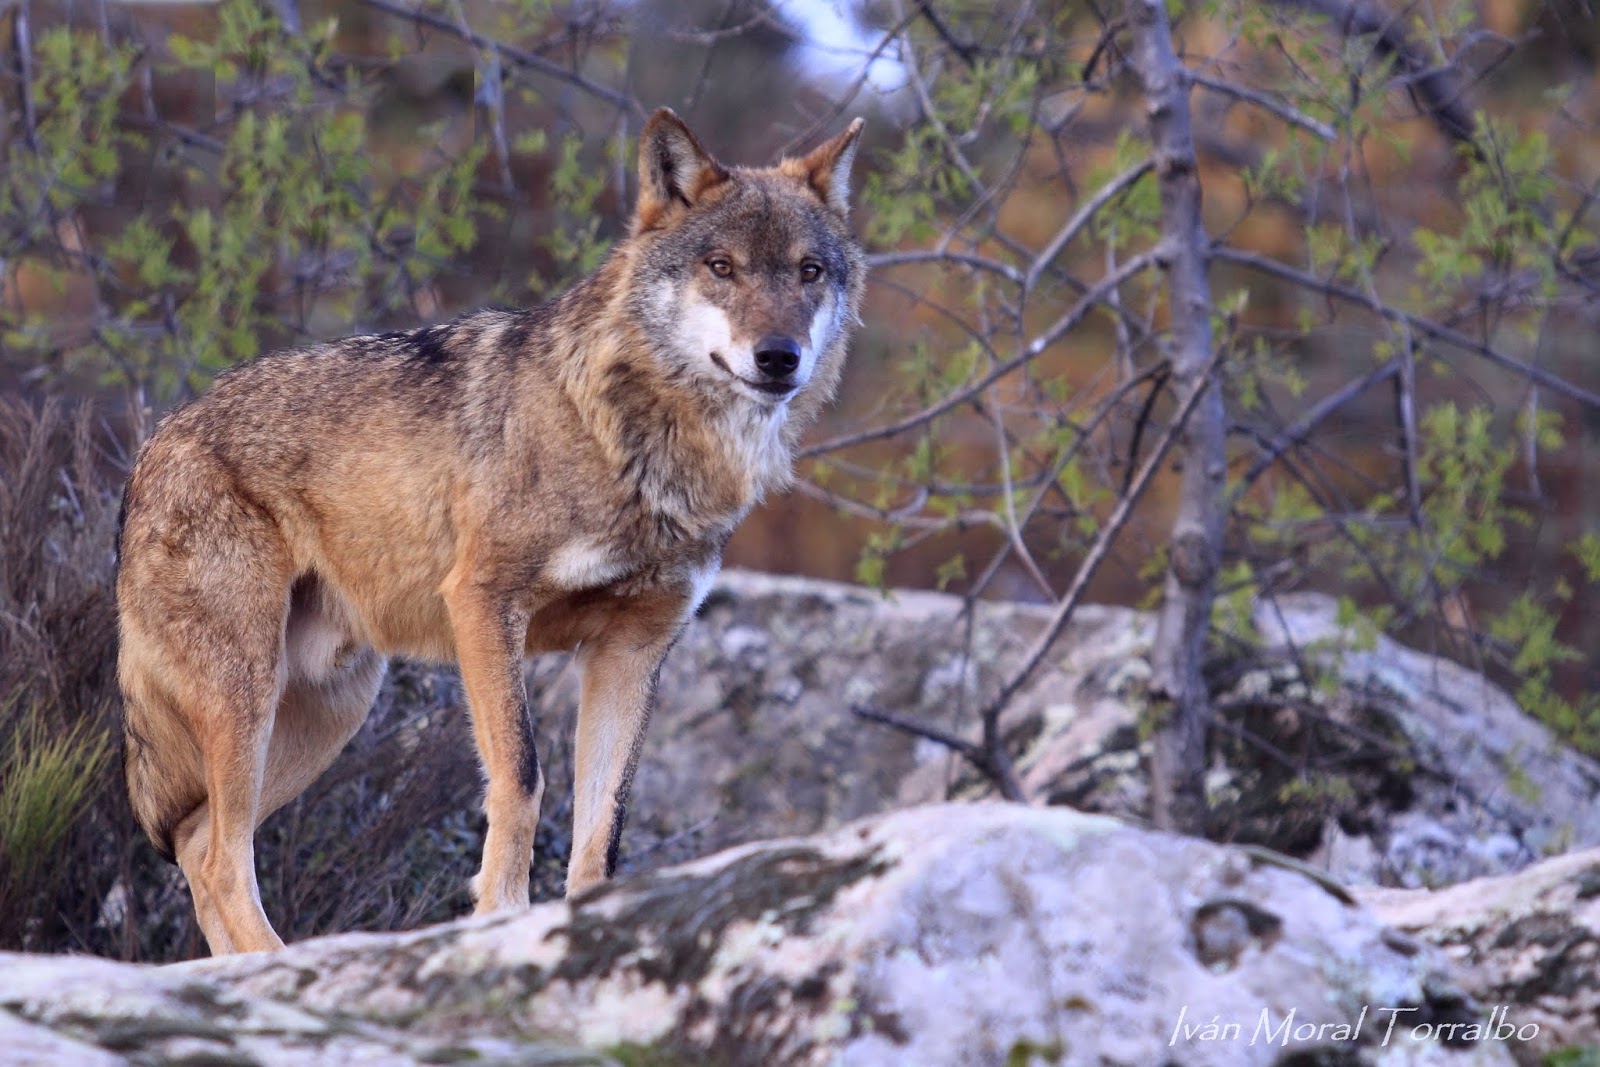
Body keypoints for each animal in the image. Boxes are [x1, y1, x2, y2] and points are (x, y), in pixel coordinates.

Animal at [116, 108, 866, 954]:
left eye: (808, 272)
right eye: (721, 266)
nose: (779, 358)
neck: (632, 445)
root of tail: (154, 443)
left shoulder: (632, 650)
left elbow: (605, 826)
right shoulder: (483, 601)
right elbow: (523, 776)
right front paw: (499, 917)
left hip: (329, 711)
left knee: (197, 841)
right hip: (253, 696)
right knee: (220, 856)